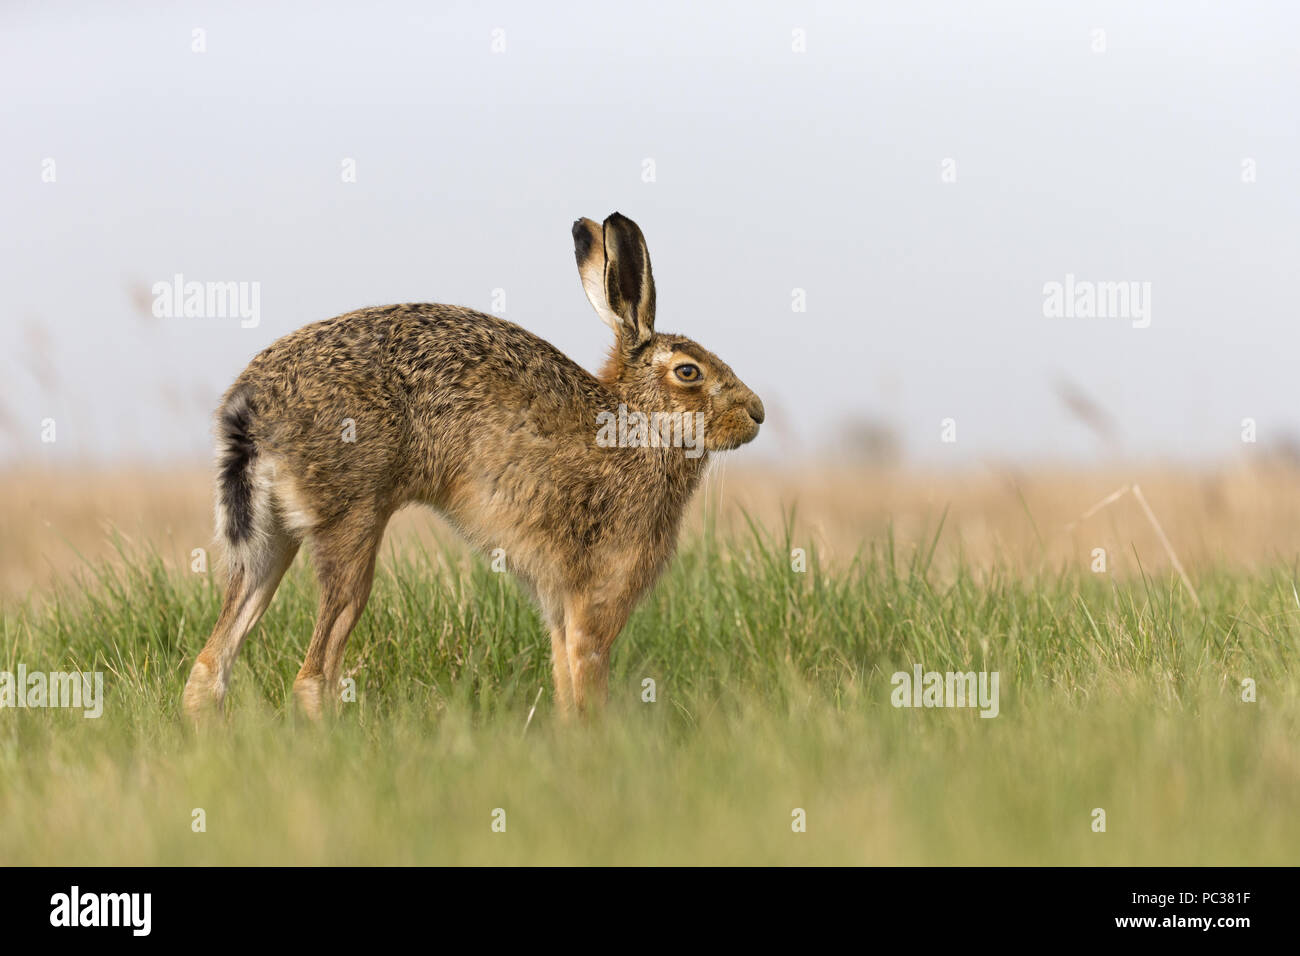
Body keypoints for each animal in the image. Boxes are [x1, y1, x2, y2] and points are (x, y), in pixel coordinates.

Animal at [181, 212, 764, 721]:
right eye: (688, 372)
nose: (757, 413)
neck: (638, 423)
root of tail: (251, 407)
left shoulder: (557, 606)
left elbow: (563, 681)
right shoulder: (597, 599)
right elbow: (586, 679)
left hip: (268, 539)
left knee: (210, 665)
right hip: (351, 523)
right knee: (312, 675)